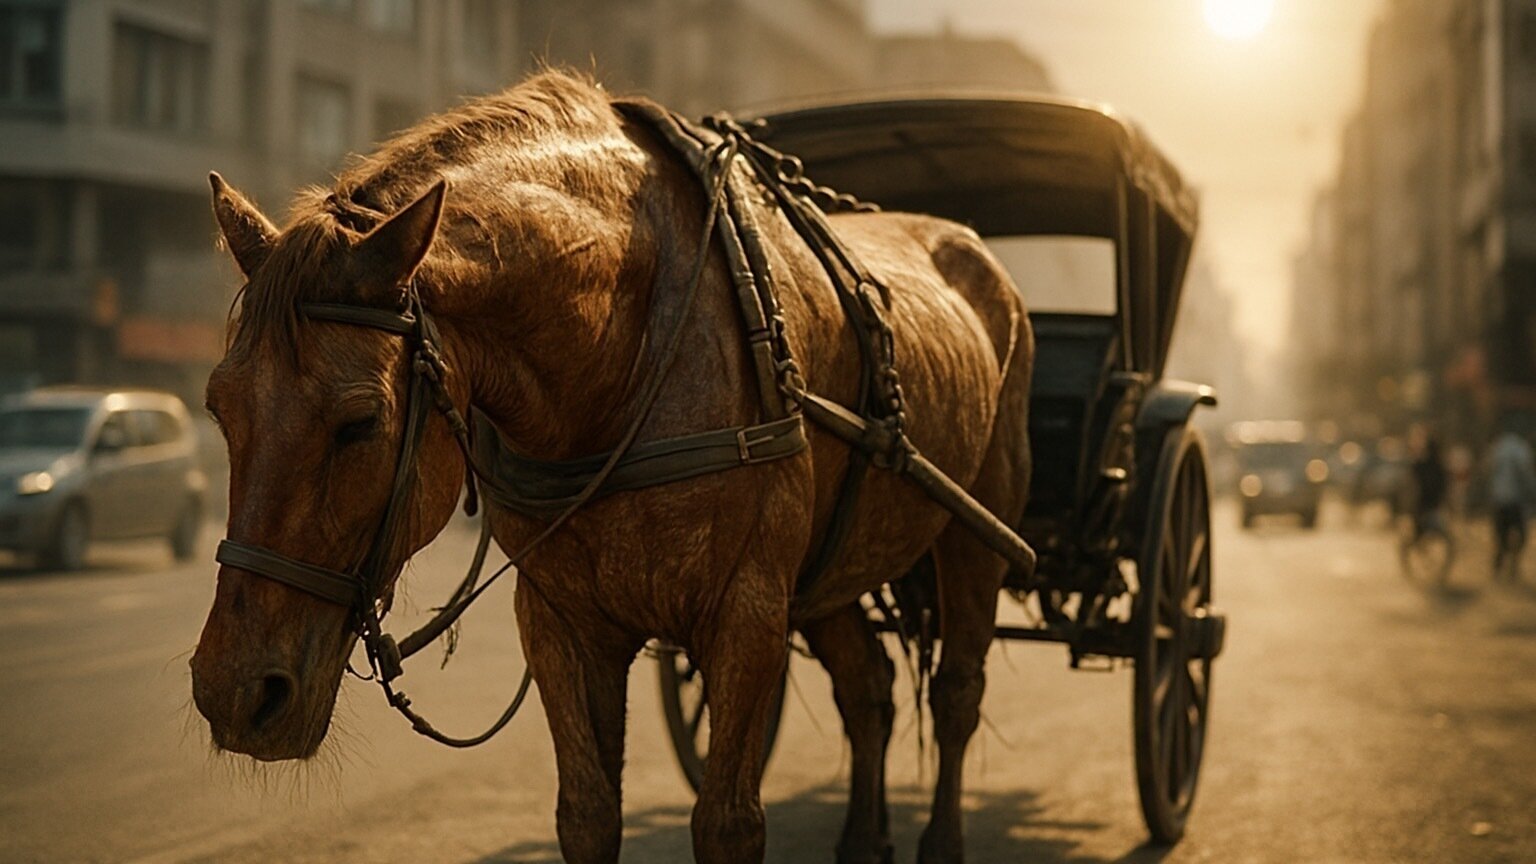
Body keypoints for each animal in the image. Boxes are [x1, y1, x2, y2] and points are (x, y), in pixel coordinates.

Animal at [191, 71, 1033, 864]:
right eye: (217, 407)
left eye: (360, 421)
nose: (235, 693)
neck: (621, 357)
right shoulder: (563, 623)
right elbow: (588, 815)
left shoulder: (749, 613)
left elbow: (729, 824)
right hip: (831, 571)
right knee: (869, 694)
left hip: (977, 530)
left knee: (957, 692)